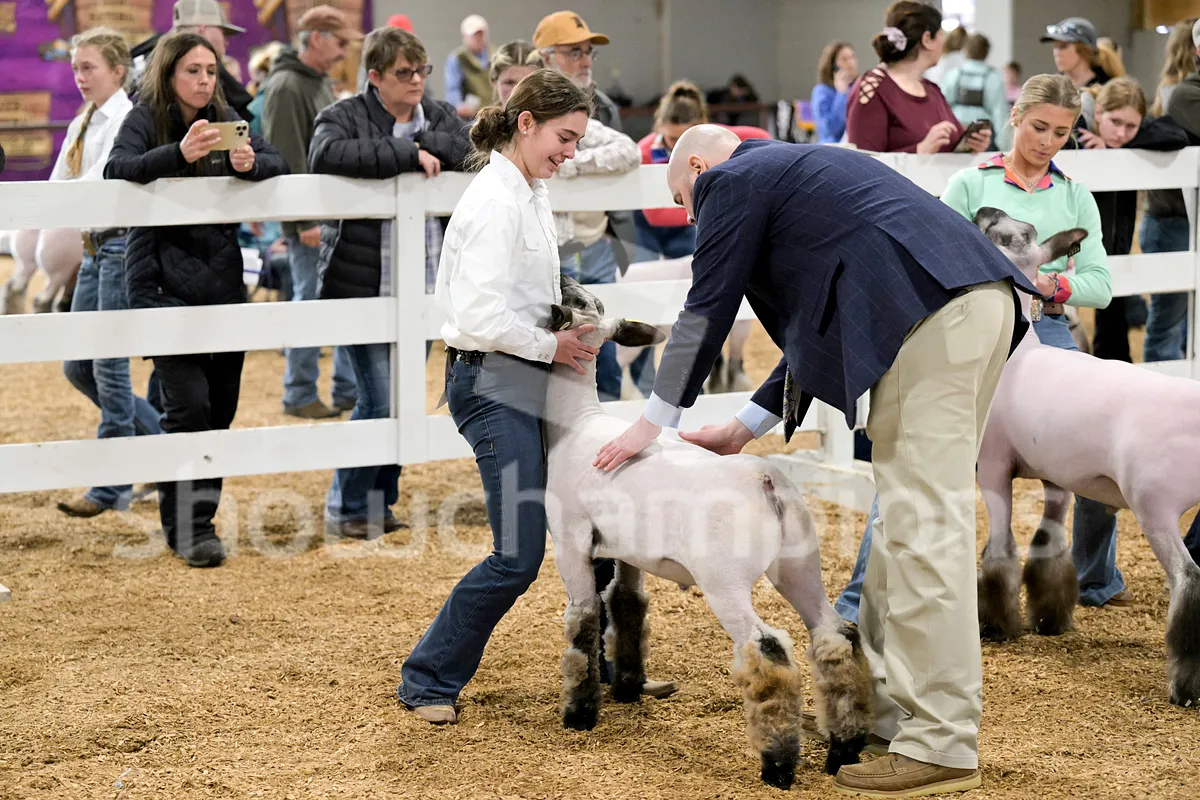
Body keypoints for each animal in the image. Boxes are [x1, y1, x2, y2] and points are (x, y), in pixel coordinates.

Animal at [542, 276, 874, 787]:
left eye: (579, 300)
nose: (563, 277)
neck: (575, 423)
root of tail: (766, 479)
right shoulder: (628, 553)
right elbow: (626, 607)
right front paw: (628, 688)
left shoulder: (571, 543)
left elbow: (584, 622)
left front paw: (579, 714)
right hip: (799, 566)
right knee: (835, 635)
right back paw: (845, 748)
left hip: (724, 580)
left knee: (768, 648)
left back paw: (779, 764)